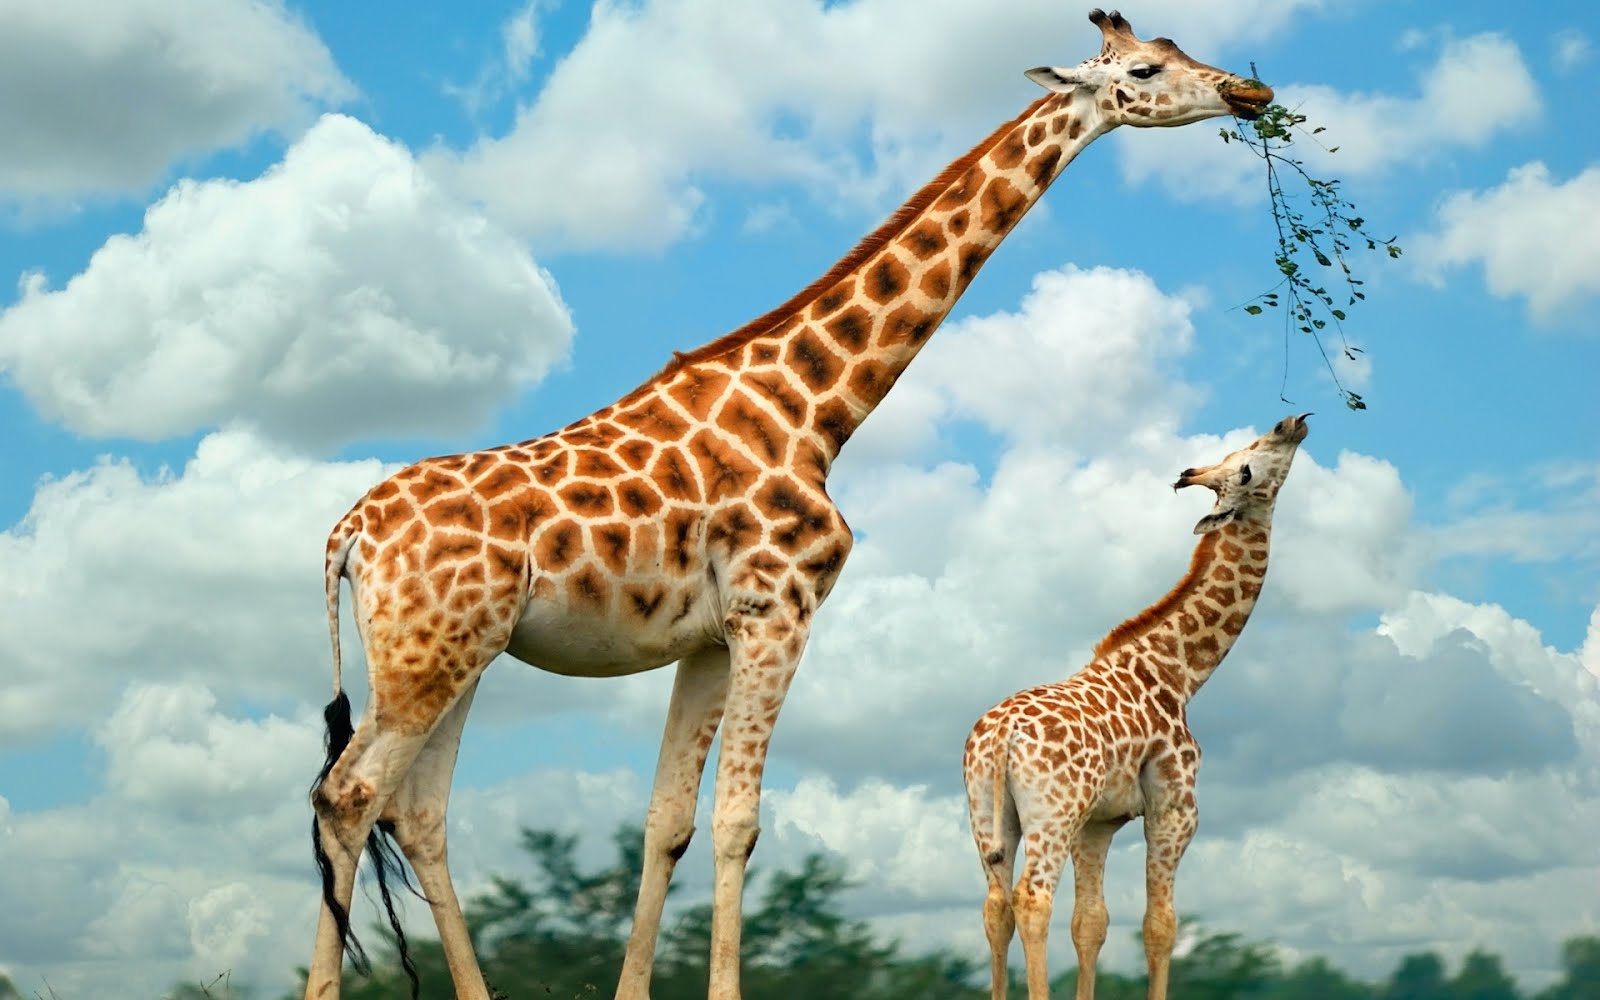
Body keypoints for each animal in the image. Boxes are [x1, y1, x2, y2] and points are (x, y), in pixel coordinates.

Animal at [303, 10, 1274, 1000]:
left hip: (458, 654)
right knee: (347, 794)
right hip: (429, 655)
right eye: (1145, 69)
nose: (1251, 92)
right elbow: (739, 821)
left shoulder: (709, 638)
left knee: (417, 812)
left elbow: (668, 823)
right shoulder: (779, 611)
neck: (817, 410)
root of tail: (349, 535)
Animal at [961, 414, 1311, 1000]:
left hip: (987, 814)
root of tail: (1001, 737)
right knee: (1033, 900)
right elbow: (1161, 926)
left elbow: (1091, 923)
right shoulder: (1175, 810)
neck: (1181, 673)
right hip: (1051, 813)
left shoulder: (1098, 823)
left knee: (996, 907)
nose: (1291, 424)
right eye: (1246, 465)